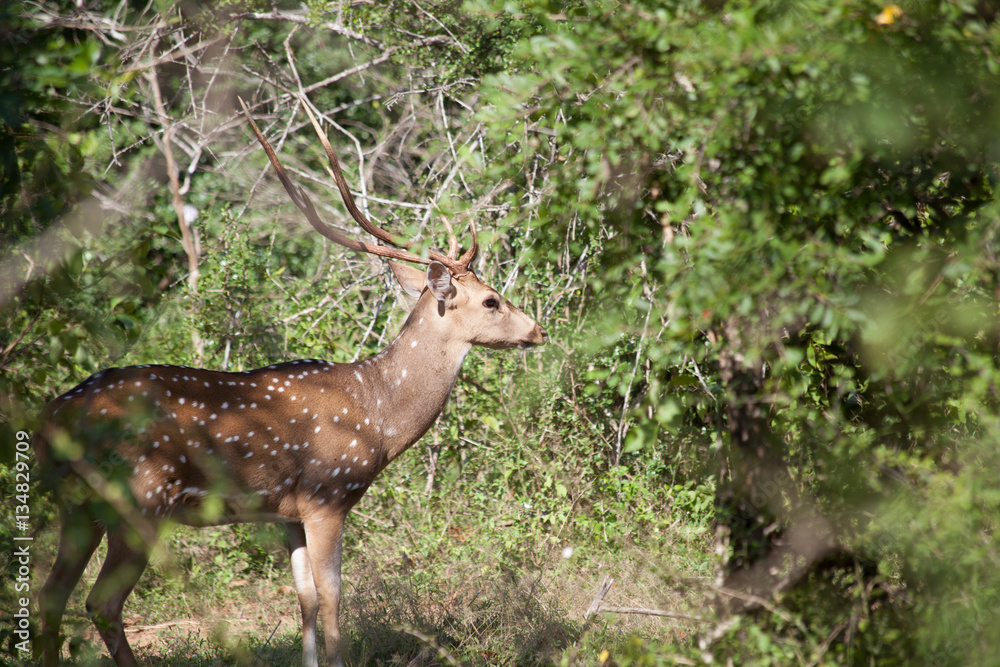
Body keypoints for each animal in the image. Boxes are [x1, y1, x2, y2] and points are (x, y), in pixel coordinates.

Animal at [36, 98, 546, 667]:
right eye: (492, 300)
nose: (539, 330)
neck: (380, 417)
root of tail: (51, 419)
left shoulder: (286, 513)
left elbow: (303, 597)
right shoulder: (328, 494)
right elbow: (333, 595)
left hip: (78, 506)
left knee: (49, 599)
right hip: (139, 498)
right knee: (100, 603)